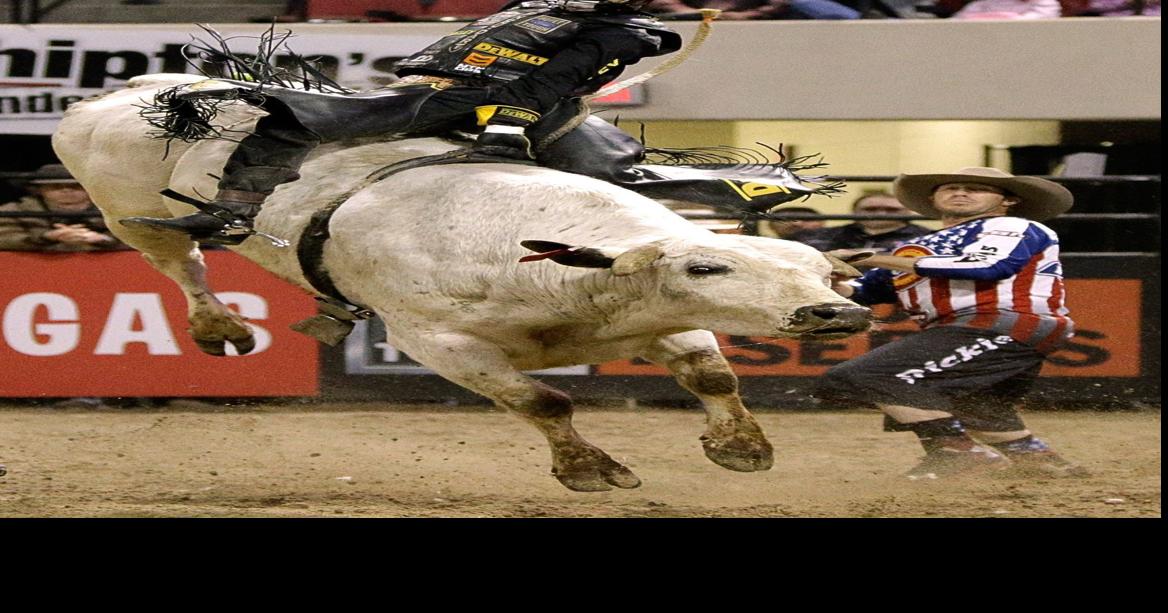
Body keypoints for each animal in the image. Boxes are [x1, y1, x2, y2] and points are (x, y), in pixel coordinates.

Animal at [52, 74, 871, 492]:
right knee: (181, 265)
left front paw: (741, 446)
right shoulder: (438, 342)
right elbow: (544, 400)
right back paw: (219, 325)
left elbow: (712, 374)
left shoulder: (653, 316)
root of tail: (134, 90)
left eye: (818, 269)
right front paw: (588, 466)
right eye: (709, 266)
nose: (833, 313)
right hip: (130, 213)